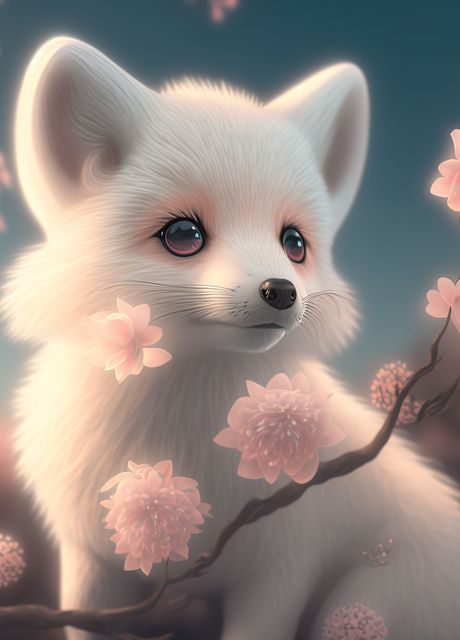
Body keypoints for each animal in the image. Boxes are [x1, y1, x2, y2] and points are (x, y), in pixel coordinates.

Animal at [1, 36, 460, 640]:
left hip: (364, 596)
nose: (281, 291)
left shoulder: (282, 563)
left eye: (294, 243)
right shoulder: (89, 564)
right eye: (183, 235)